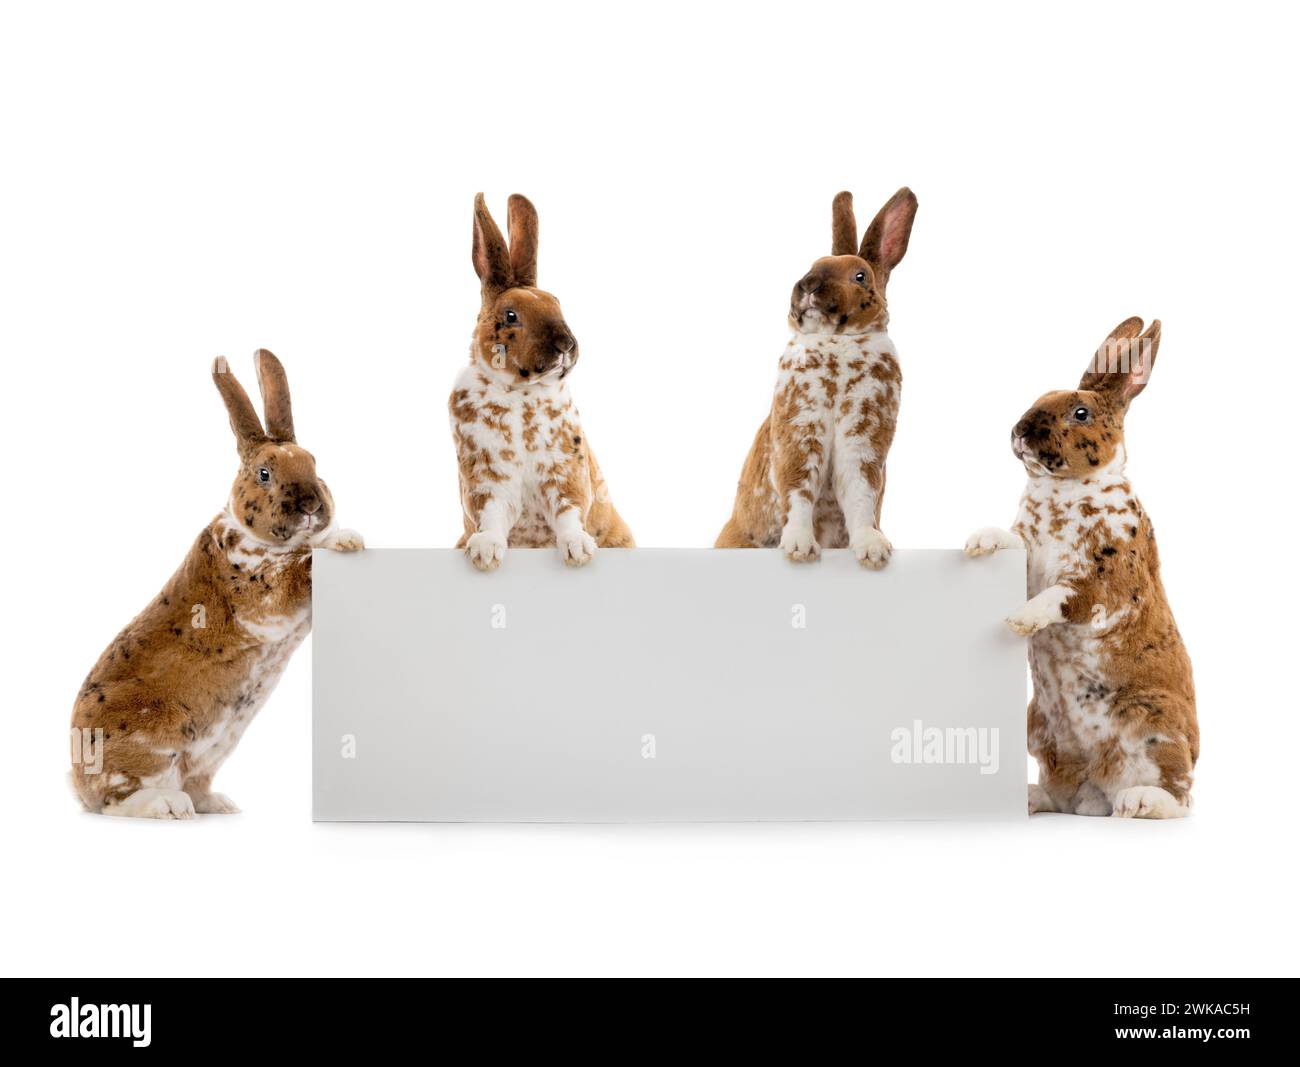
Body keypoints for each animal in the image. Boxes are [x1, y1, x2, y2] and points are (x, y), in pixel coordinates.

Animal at [69, 351, 364, 818]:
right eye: (264, 473)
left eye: (315, 462)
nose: (311, 505)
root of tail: (78, 783)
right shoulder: (262, 592)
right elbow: (300, 568)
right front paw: (345, 538)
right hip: (152, 747)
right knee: (118, 802)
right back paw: (169, 807)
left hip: (209, 754)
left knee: (192, 785)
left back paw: (220, 804)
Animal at [449, 192, 634, 571]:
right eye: (510, 315)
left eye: (557, 303)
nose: (566, 344)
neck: (519, 392)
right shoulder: (485, 480)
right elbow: (490, 517)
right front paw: (485, 552)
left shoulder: (564, 471)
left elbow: (569, 512)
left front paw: (579, 549)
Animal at [715, 188, 917, 566]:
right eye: (812, 265)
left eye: (860, 276)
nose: (808, 285)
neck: (838, 341)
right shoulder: (798, 431)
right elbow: (797, 492)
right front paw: (799, 546)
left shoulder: (864, 443)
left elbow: (861, 498)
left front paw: (873, 548)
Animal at [964, 318, 1198, 819]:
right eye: (1040, 397)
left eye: (1080, 413)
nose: (1020, 431)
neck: (1064, 488)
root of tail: (1097, 789)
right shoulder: (1029, 551)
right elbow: (1011, 540)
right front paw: (979, 540)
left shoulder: (1104, 582)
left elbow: (1062, 597)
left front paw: (1021, 619)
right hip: (1039, 728)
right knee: (1059, 794)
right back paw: (1032, 797)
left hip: (1156, 724)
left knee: (1180, 796)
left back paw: (1138, 801)